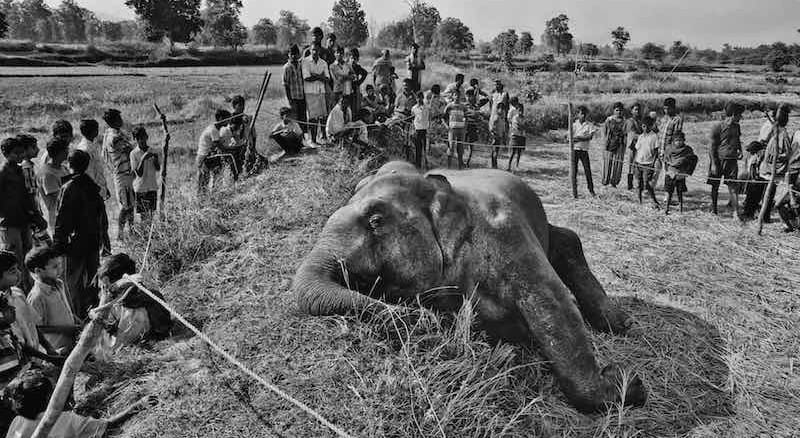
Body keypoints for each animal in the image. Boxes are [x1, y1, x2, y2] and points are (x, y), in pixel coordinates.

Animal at [292, 161, 647, 413]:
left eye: (376, 221)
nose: (422, 318)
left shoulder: (507, 234)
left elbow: (550, 303)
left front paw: (629, 384)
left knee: (568, 242)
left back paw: (622, 324)